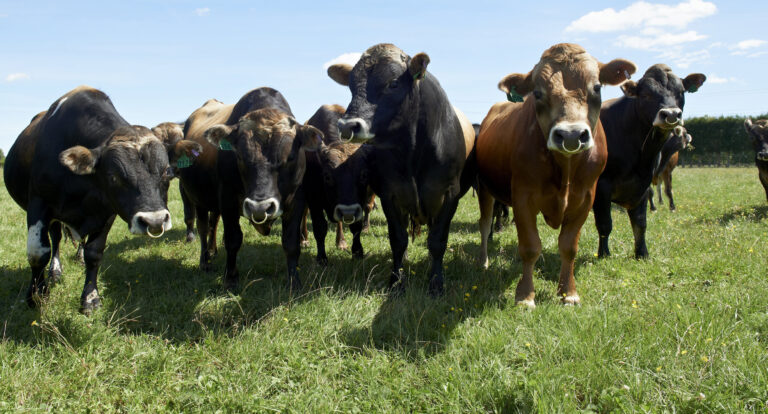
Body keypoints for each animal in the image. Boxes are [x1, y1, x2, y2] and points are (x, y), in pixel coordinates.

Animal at [3, 86, 197, 313]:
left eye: (166, 171)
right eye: (113, 176)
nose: (155, 221)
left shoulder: (106, 212)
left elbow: (94, 253)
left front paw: (90, 298)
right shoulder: (39, 203)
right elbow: (38, 253)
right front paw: (36, 295)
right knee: (56, 239)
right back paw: (55, 271)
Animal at [203, 108, 323, 290]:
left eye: (290, 157)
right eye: (240, 156)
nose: (259, 208)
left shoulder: (296, 201)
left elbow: (291, 243)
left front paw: (294, 282)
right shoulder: (226, 198)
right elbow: (232, 240)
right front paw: (230, 278)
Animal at [326, 43, 476, 295]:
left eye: (393, 83)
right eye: (351, 86)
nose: (347, 126)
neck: (413, 153)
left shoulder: (449, 195)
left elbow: (437, 240)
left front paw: (436, 282)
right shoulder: (391, 194)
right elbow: (397, 239)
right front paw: (396, 281)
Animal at [475, 43, 636, 307]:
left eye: (597, 87)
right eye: (537, 93)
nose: (571, 135)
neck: (565, 168)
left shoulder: (585, 198)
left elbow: (569, 247)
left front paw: (568, 293)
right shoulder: (523, 197)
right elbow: (530, 246)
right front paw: (525, 296)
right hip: (485, 189)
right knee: (485, 223)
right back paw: (484, 261)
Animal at [593, 65, 705, 259]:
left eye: (681, 91)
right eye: (646, 94)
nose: (671, 114)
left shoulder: (643, 184)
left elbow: (640, 223)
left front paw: (642, 253)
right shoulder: (601, 185)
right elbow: (605, 224)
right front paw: (604, 254)